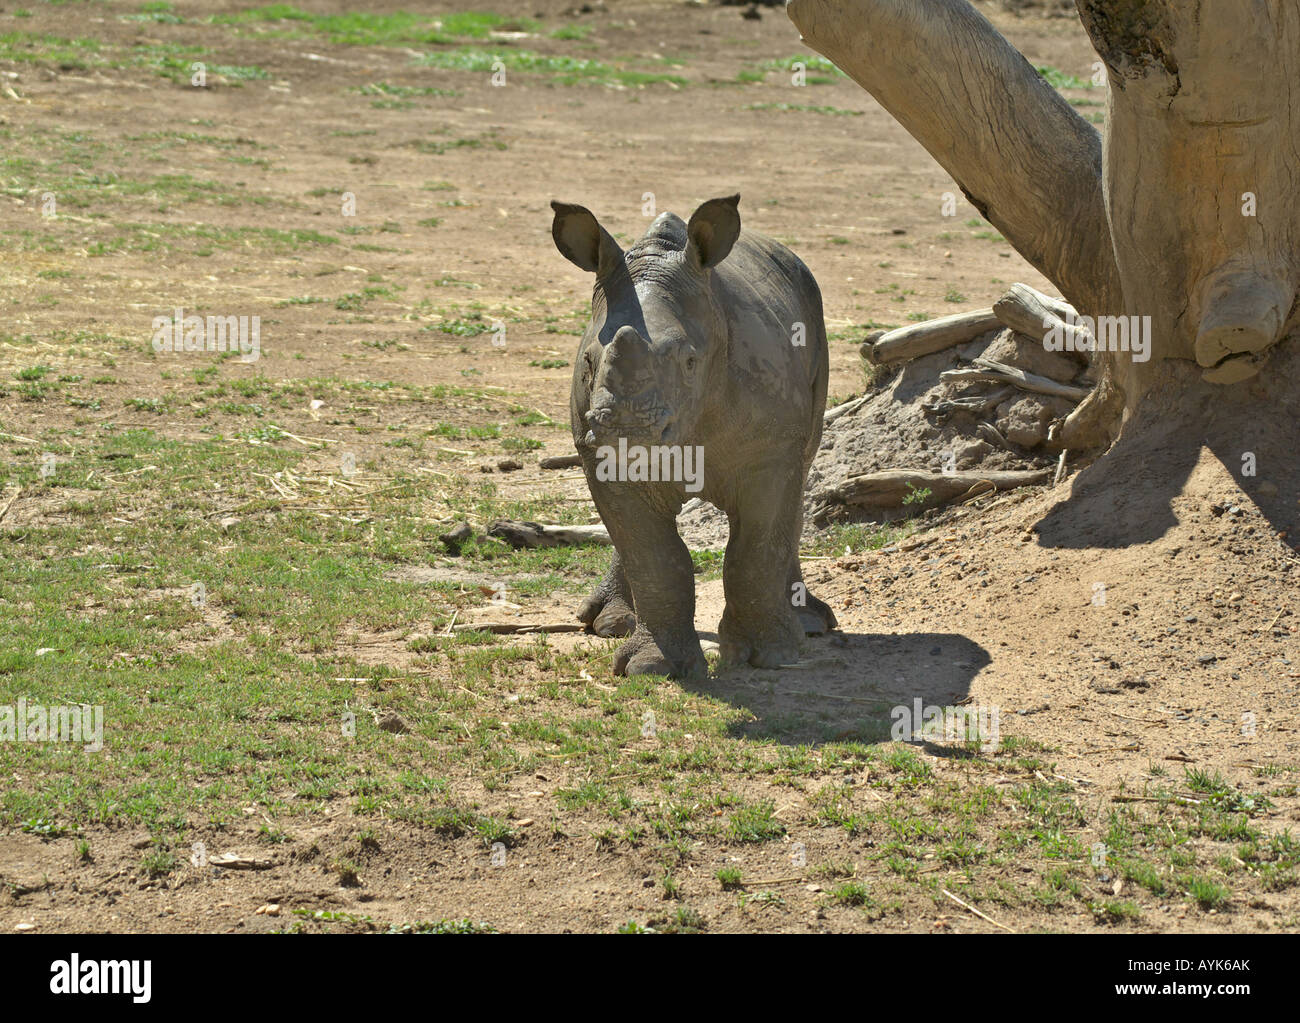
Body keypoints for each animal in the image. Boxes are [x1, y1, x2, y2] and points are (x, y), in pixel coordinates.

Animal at [550, 194, 837, 681]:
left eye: (689, 361)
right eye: (588, 361)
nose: (627, 432)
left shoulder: (769, 450)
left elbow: (756, 548)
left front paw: (772, 655)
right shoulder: (596, 452)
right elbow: (652, 554)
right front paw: (652, 667)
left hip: (812, 315)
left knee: (801, 477)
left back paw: (809, 626)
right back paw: (610, 623)